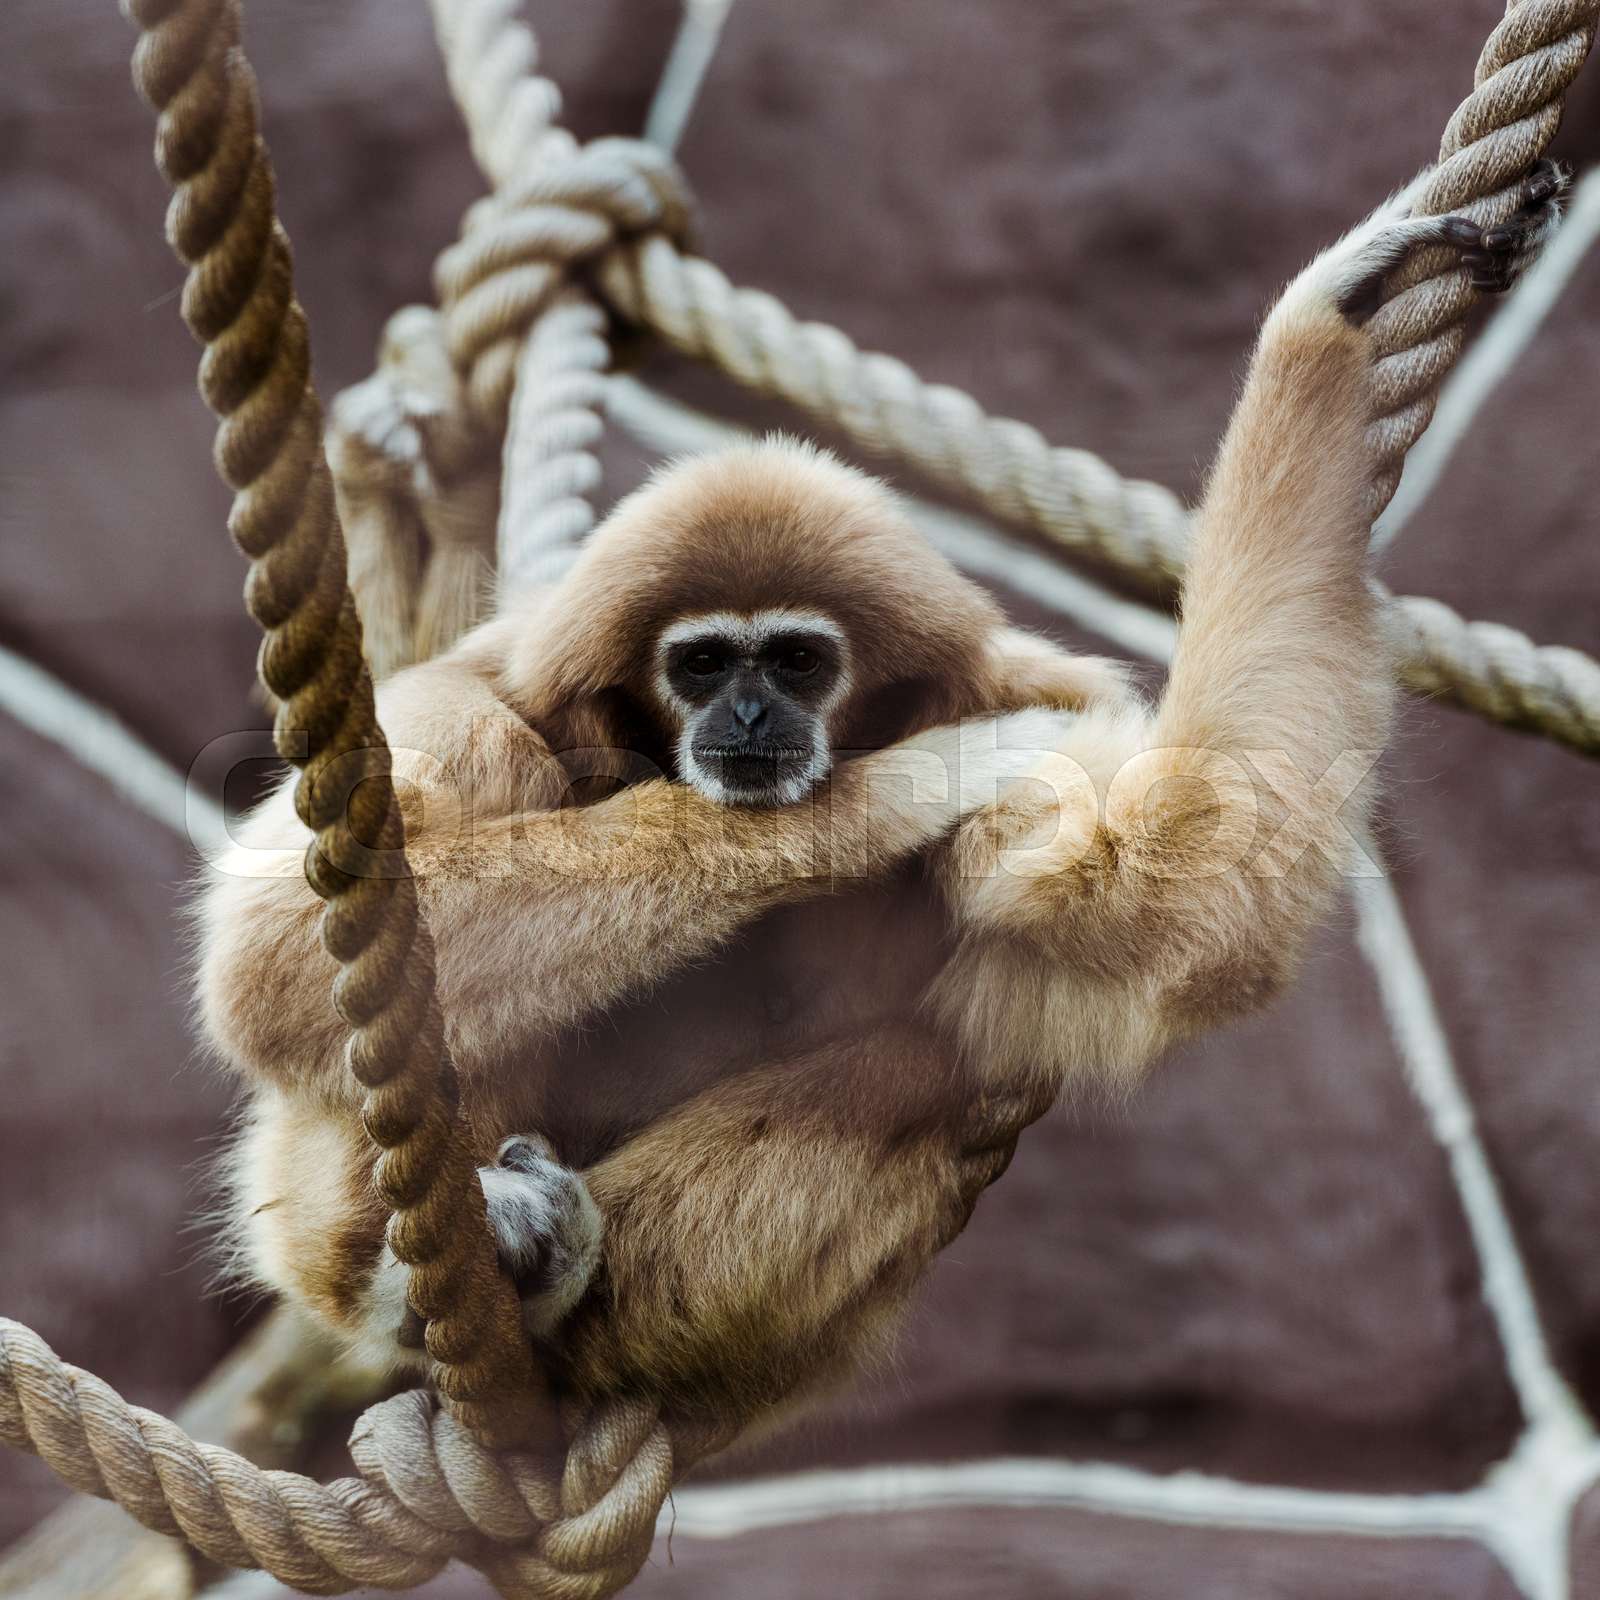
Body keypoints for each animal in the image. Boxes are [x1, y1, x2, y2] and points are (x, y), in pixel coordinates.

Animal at [196, 165, 1564, 1424]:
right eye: (702, 664)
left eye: (799, 659)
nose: (752, 717)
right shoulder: (485, 689)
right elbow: (281, 954)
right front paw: (889, 795)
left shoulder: (1033, 690)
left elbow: (1186, 894)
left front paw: (1324, 327)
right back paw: (445, 1282)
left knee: (924, 1067)